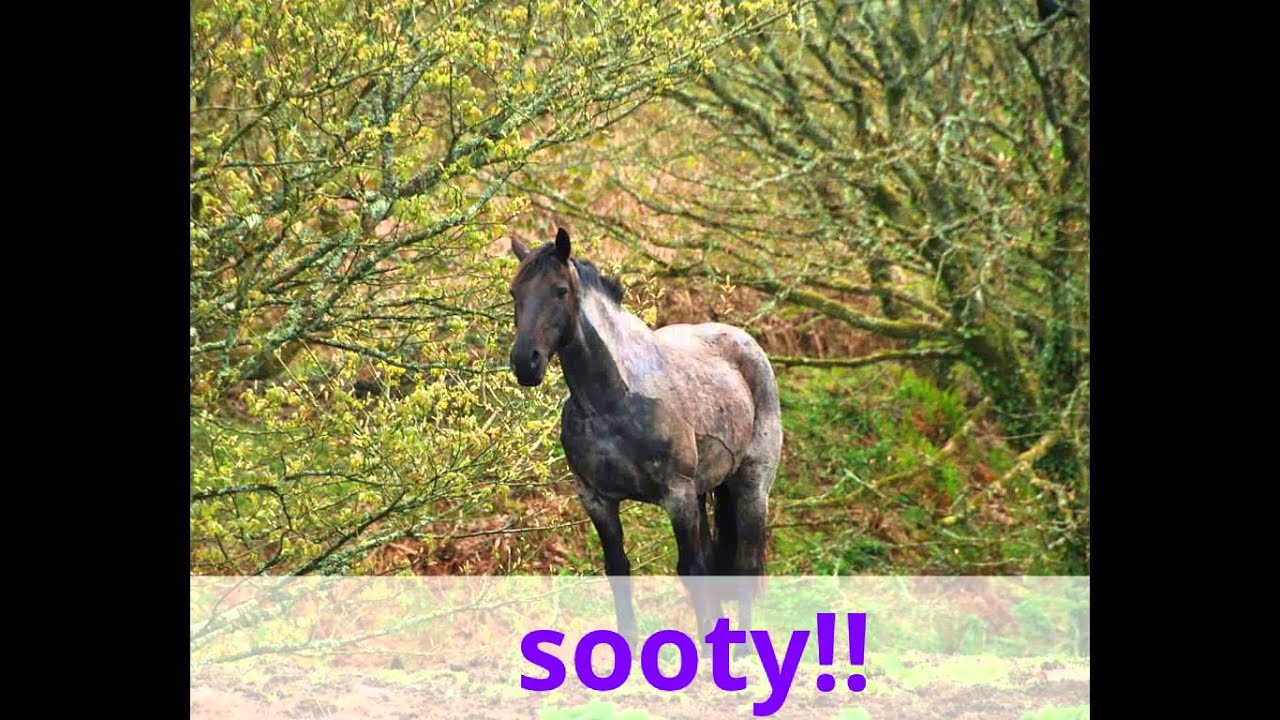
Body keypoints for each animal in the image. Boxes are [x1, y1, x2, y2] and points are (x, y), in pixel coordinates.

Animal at [507, 227, 782, 649]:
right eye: (514, 293)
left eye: (559, 291)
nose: (526, 362)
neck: (611, 402)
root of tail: (744, 344)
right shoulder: (597, 499)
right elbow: (619, 568)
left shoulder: (677, 496)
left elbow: (691, 569)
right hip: (704, 492)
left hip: (751, 485)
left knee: (746, 566)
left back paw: (743, 650)